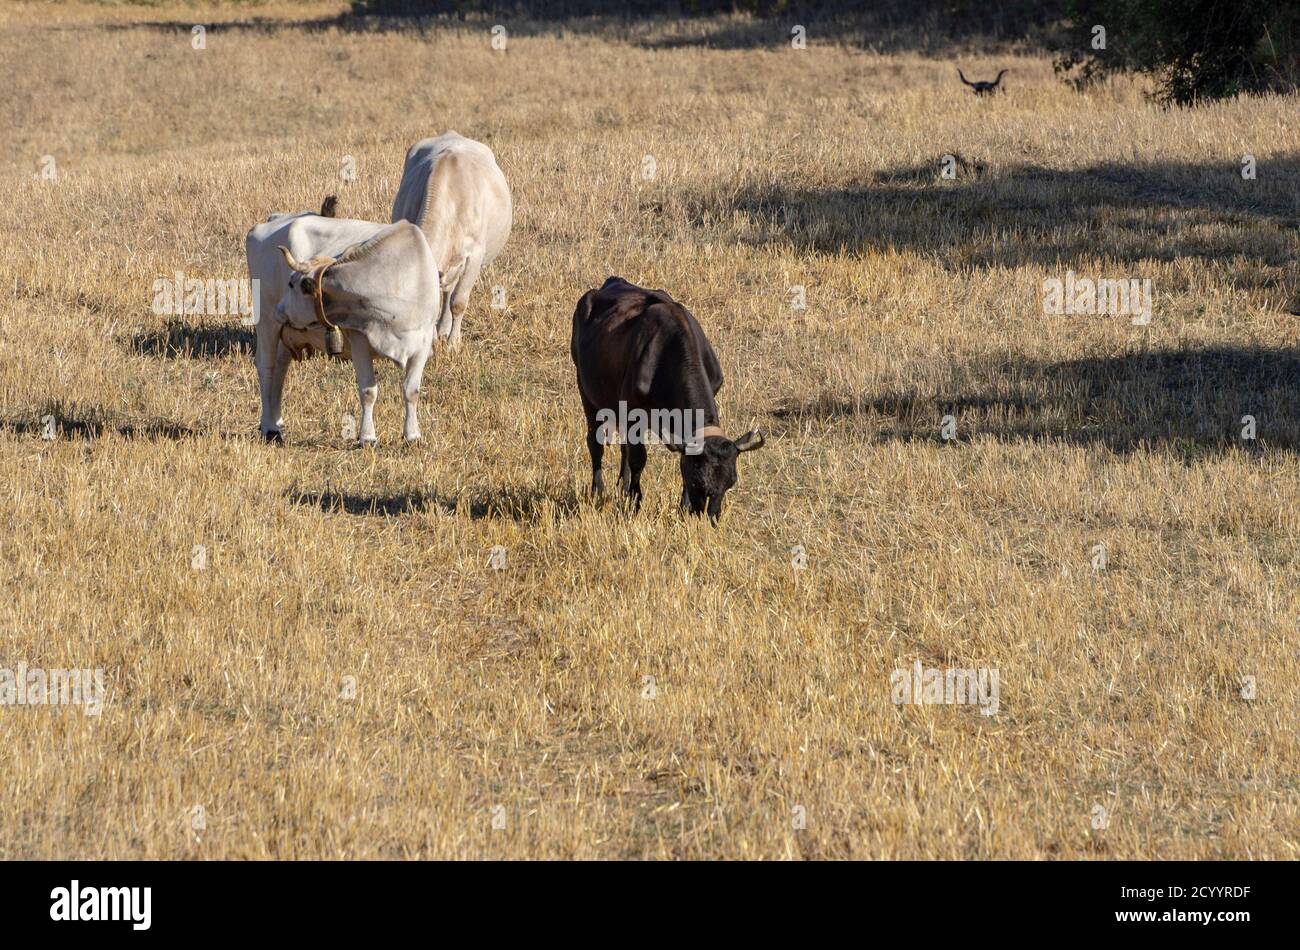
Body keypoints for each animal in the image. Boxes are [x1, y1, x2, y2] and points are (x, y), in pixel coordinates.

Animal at [244, 211, 439, 446]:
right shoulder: (360, 340)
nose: (280, 309)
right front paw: (367, 437)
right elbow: (368, 391)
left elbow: (412, 390)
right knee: (267, 367)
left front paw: (412, 435)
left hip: (285, 332)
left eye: (292, 283)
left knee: (281, 368)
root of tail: (273, 221)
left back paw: (277, 420)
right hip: (266, 322)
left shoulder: (422, 343)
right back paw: (269, 427)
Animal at [570, 277, 764, 524]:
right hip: (586, 390)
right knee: (595, 442)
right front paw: (635, 502)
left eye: (731, 482)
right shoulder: (634, 412)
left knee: (623, 446)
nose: (709, 518)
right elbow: (638, 459)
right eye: (697, 481)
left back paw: (622, 485)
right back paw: (598, 490)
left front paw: (682, 505)